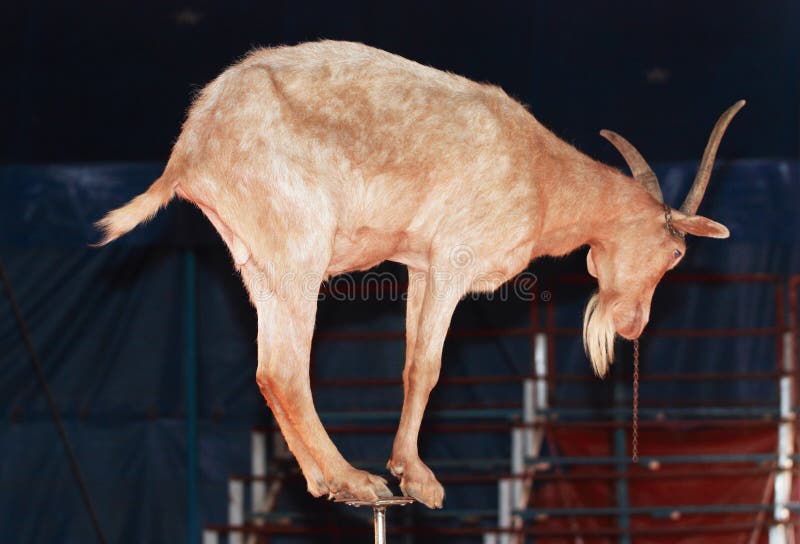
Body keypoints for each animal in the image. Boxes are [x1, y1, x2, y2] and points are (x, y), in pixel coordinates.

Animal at [95, 40, 743, 508]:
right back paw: (351, 479)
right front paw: (417, 480)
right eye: (676, 255)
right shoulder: (455, 260)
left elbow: (411, 368)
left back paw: (321, 480)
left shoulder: (421, 266)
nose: (632, 325)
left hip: (260, 264)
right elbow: (430, 367)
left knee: (268, 372)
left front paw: (409, 469)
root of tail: (191, 147)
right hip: (299, 249)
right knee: (285, 369)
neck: (541, 174)